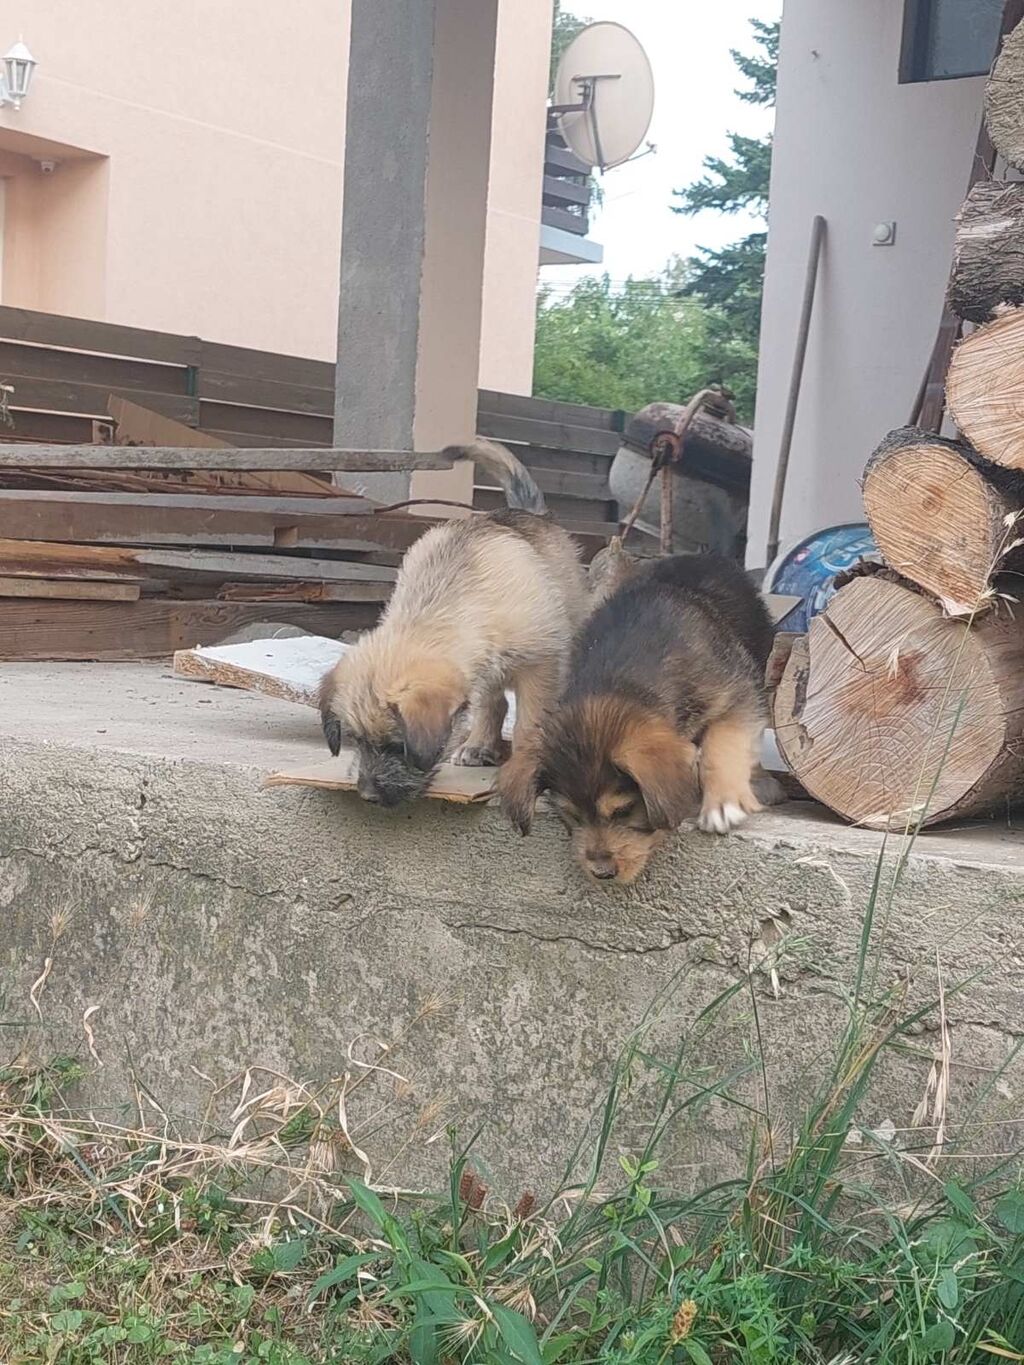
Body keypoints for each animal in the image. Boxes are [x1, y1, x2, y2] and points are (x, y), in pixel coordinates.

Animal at [320, 442, 592, 808]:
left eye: (397, 746)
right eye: (357, 741)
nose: (367, 796)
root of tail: (531, 514)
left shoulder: (541, 664)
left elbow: (529, 724)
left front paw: (523, 774)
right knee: (494, 703)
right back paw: (477, 745)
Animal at [505, 554, 775, 884]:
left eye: (624, 811)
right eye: (572, 816)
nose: (602, 874)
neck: (619, 679)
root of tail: (699, 556)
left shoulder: (738, 692)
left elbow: (725, 743)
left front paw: (724, 803)